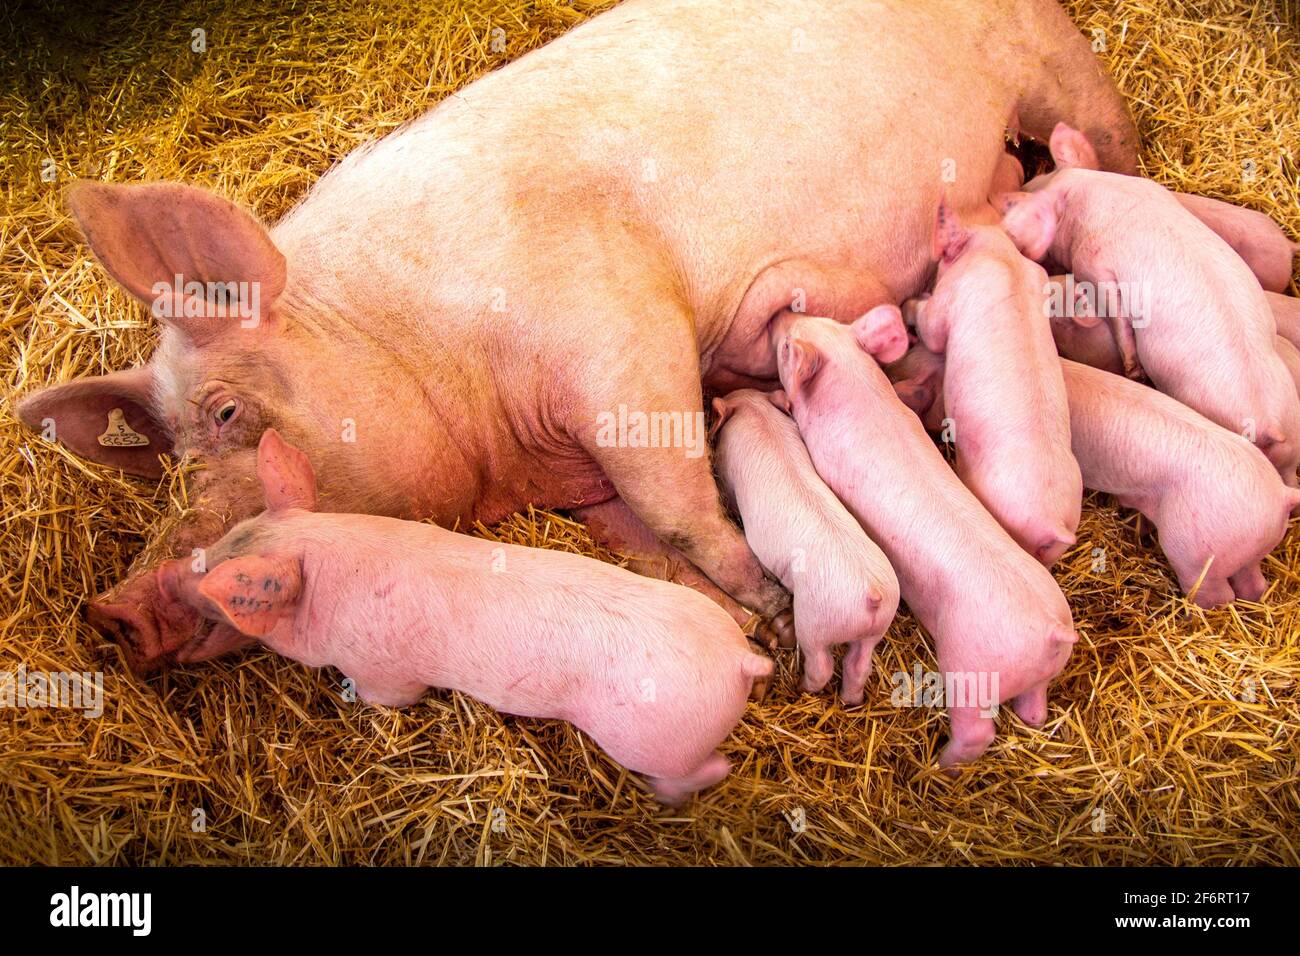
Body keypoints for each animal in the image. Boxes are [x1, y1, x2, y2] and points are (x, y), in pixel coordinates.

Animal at [159, 429, 773, 806]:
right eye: (232, 535)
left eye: (222, 600)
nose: (170, 575)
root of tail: (739, 661)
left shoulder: (386, 671)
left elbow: (386, 698)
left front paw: (355, 701)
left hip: (653, 740)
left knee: (703, 771)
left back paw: (663, 795)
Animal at [711, 388, 899, 704]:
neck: (758, 412)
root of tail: (871, 593)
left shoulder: (727, 473)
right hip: (877, 628)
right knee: (859, 665)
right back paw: (850, 701)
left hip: (814, 622)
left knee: (822, 665)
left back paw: (801, 689)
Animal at [772, 309, 1077, 769]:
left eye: (789, 344)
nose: (781, 315)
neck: (858, 391)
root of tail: (1053, 631)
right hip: (1040, 675)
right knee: (1035, 710)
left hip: (970, 668)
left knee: (976, 731)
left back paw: (937, 766)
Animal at [906, 202, 1082, 566]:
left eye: (944, 260)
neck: (1003, 258)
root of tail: (1057, 523)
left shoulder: (949, 300)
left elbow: (932, 329)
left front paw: (909, 305)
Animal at [997, 123, 1300, 487]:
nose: (1013, 194)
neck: (1084, 193)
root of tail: (1272, 422)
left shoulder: (1095, 261)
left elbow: (1114, 311)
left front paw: (1133, 369)